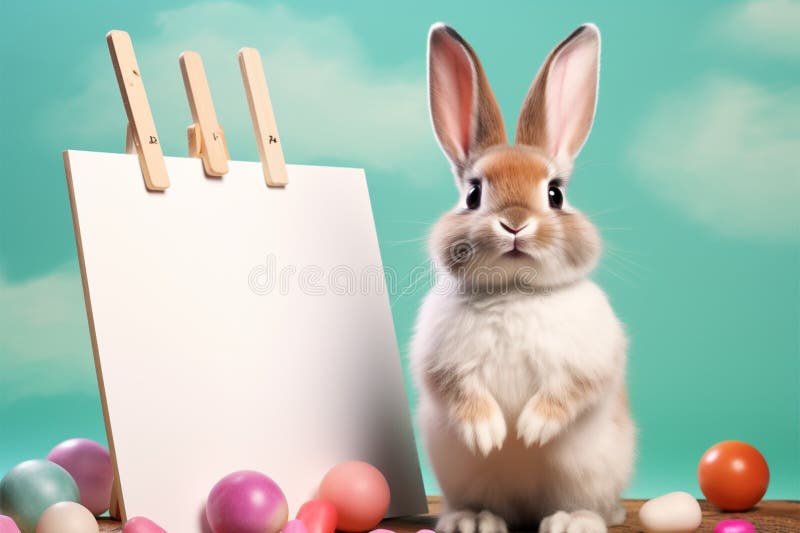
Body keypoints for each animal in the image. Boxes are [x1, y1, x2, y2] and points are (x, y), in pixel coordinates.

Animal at [411, 22, 635, 533]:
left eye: (555, 193)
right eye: (473, 194)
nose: (514, 223)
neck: (515, 292)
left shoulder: (588, 362)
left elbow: (569, 391)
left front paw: (530, 430)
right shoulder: (441, 363)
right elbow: (459, 392)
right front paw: (491, 434)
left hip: (586, 473)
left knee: (582, 502)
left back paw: (574, 520)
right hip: (466, 476)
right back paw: (474, 520)